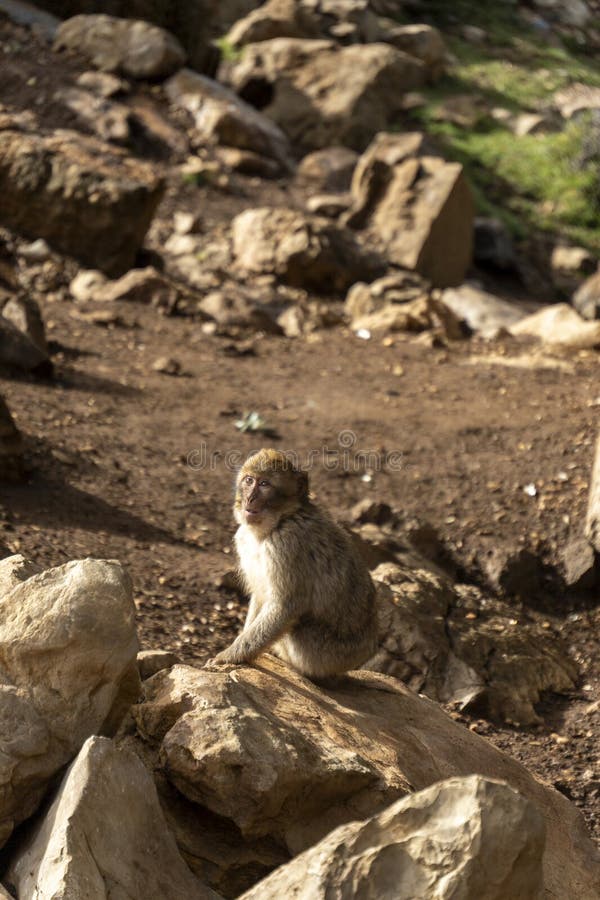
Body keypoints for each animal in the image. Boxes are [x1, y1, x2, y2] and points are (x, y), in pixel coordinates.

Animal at [205, 448, 378, 679]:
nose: (249, 498)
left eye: (265, 484)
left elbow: (284, 606)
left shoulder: (287, 544)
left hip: (324, 653)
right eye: (249, 480)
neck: (279, 521)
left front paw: (229, 656)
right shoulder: (243, 538)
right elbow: (260, 596)